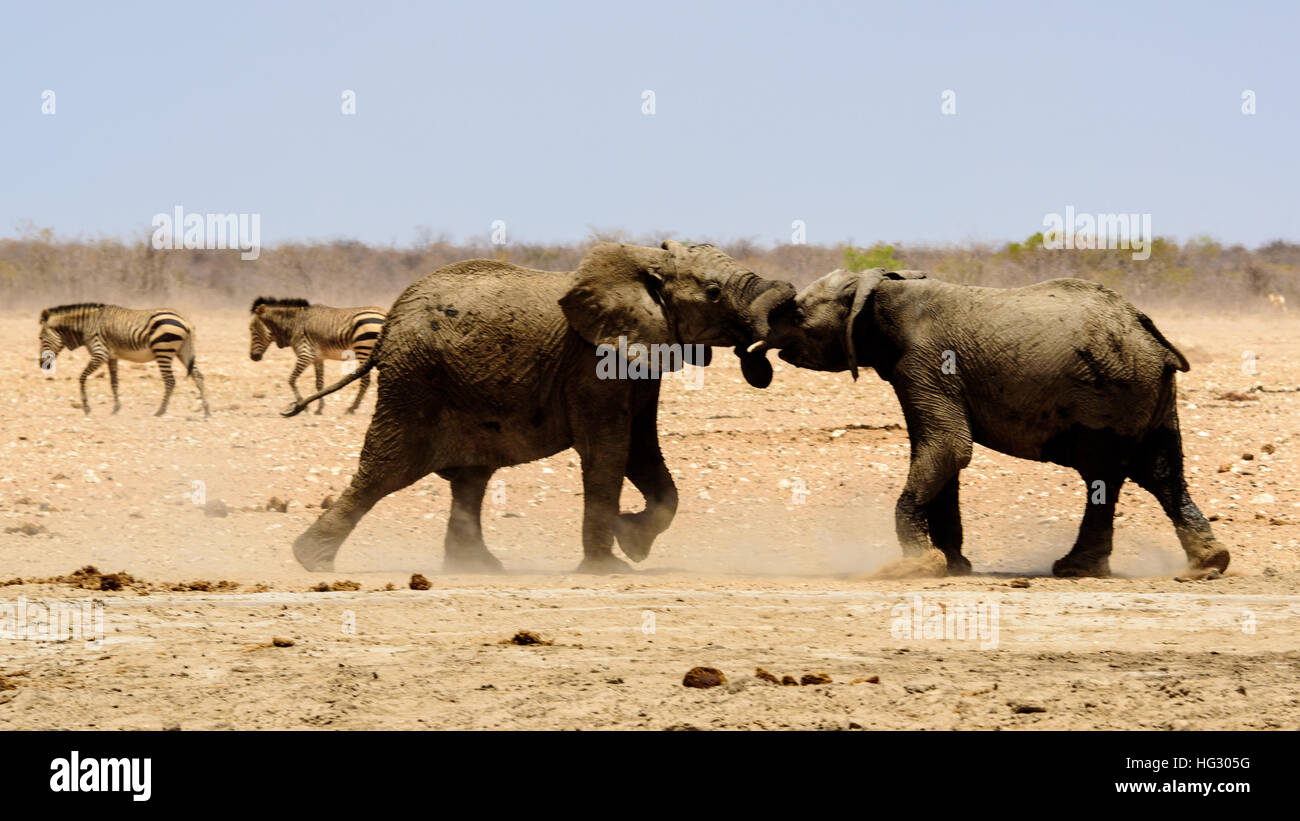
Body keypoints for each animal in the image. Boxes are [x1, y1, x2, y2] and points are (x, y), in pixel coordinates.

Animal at [284, 241, 795, 573]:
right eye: (713, 292)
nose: (759, 360)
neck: (646, 260)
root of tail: (390, 320)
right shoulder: (592, 362)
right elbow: (609, 449)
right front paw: (611, 567)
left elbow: (641, 448)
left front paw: (633, 542)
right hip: (415, 380)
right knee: (388, 468)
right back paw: (312, 562)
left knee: (470, 479)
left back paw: (479, 570)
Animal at [753, 268, 1230, 579]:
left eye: (798, 315)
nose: (758, 358)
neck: (886, 289)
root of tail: (1149, 330)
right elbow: (941, 455)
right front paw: (954, 568)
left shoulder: (926, 363)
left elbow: (948, 446)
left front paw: (917, 568)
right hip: (1144, 393)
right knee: (1153, 472)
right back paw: (1201, 566)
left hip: (1114, 390)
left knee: (1116, 473)